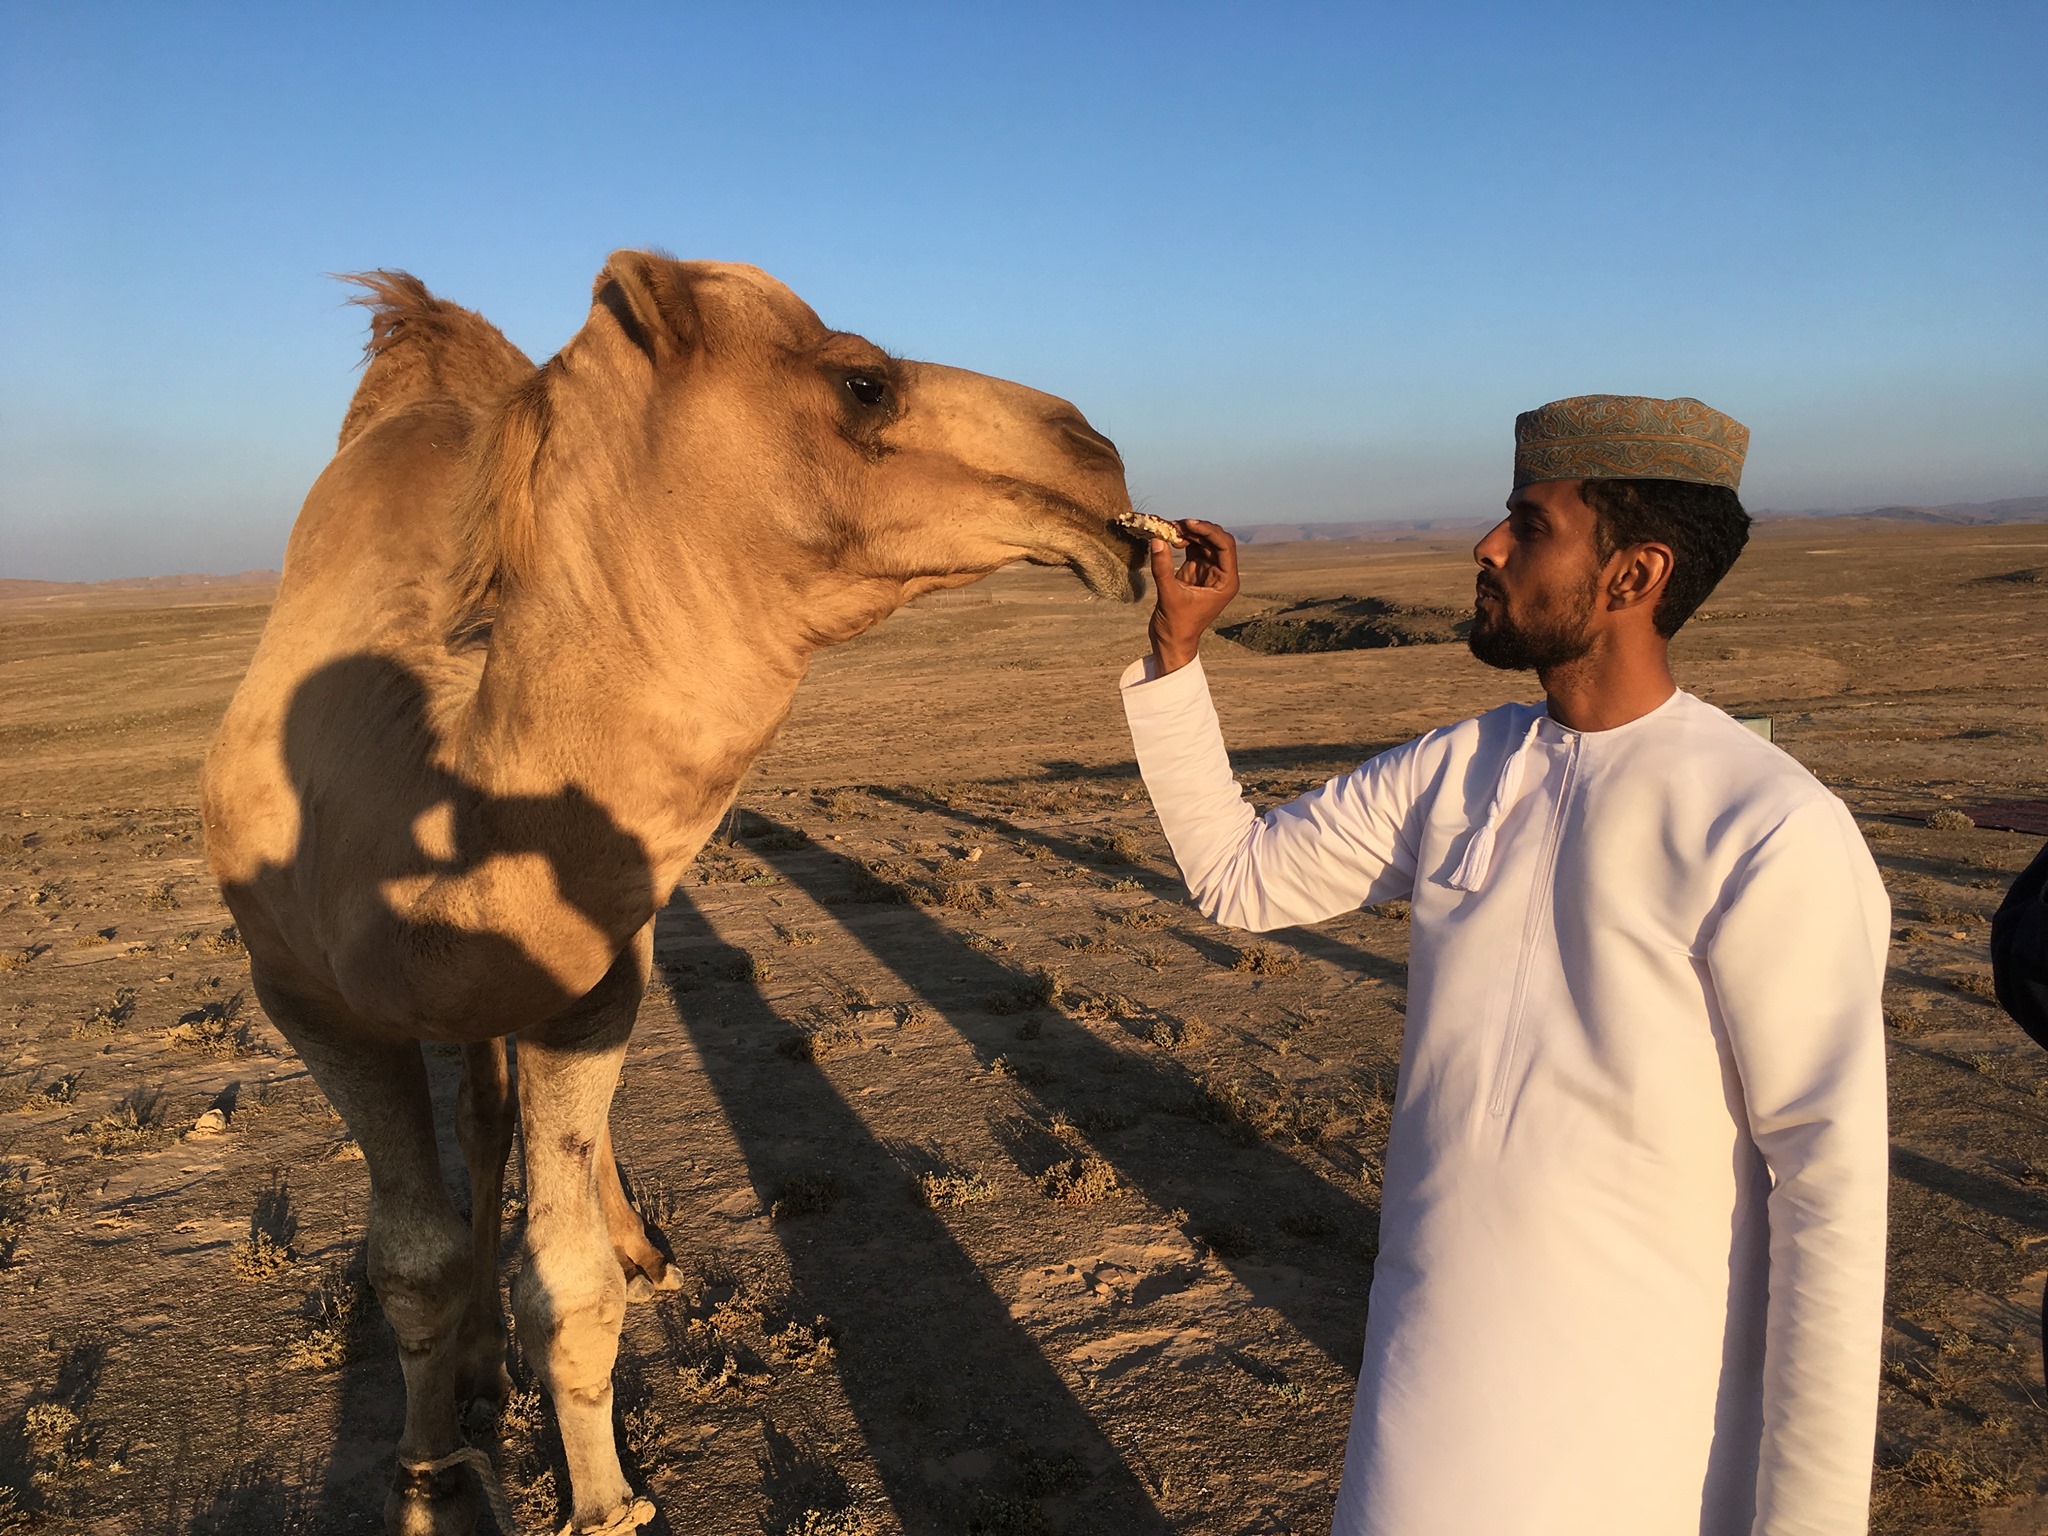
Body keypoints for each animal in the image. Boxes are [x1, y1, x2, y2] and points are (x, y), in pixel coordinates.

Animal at [199, 251, 1142, 1534]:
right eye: (861, 380)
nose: (1096, 451)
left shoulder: (587, 984)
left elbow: (568, 1278)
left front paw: (603, 1499)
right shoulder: (306, 998)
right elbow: (413, 1261)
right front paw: (430, 1470)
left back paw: (633, 1257)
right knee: (482, 1123)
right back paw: (481, 1357)